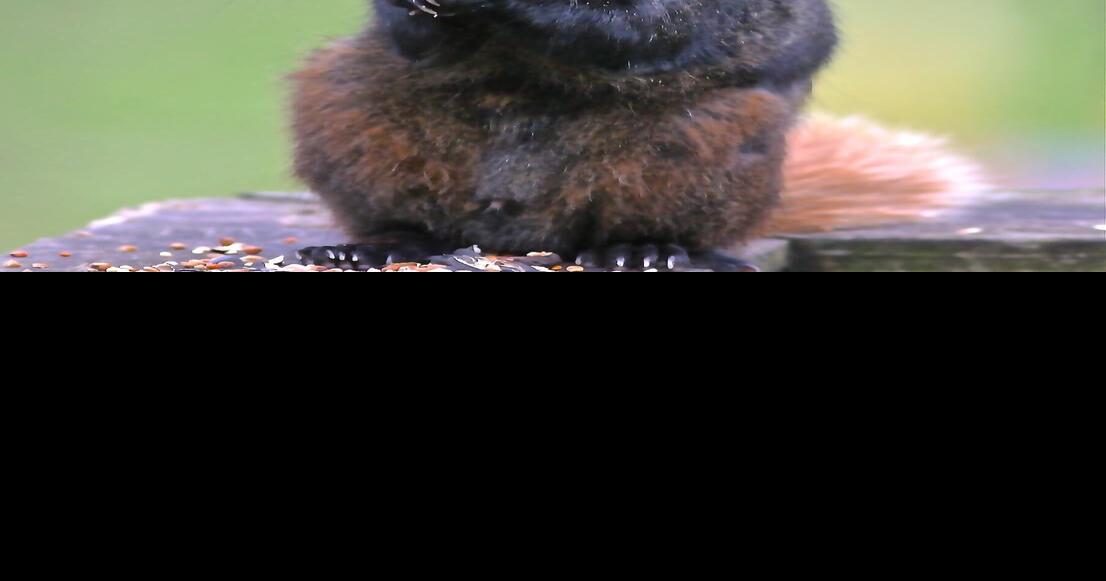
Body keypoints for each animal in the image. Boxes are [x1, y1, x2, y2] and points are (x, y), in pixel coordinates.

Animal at [291, 0, 985, 270]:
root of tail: (520, 231)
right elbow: (414, 36)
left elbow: (634, 28)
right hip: (344, 102)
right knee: (420, 222)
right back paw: (377, 246)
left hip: (699, 144)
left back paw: (640, 248)